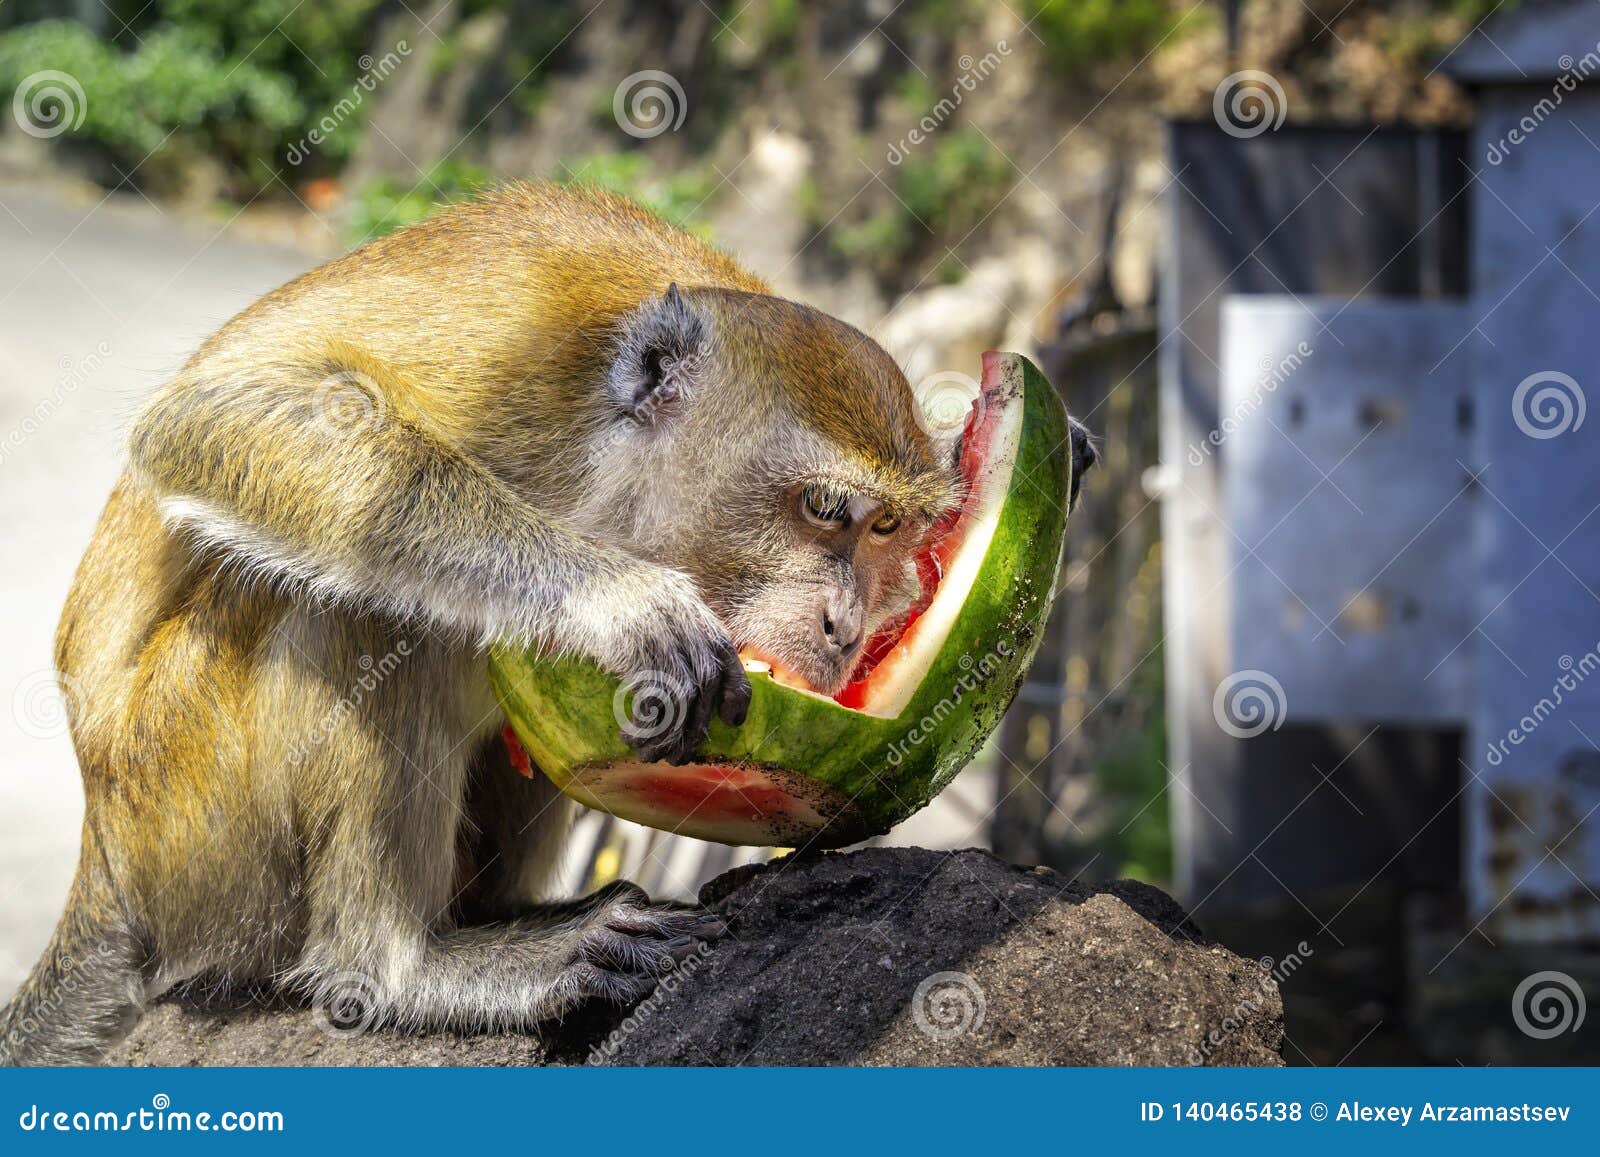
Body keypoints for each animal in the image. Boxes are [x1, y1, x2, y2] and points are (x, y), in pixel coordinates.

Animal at [1, 182, 1095, 1064]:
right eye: (825, 510)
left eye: (888, 531)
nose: (846, 624)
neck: (591, 455)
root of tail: (108, 863)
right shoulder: (507, 347)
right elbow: (216, 412)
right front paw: (620, 598)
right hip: (189, 809)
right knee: (363, 617)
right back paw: (396, 966)